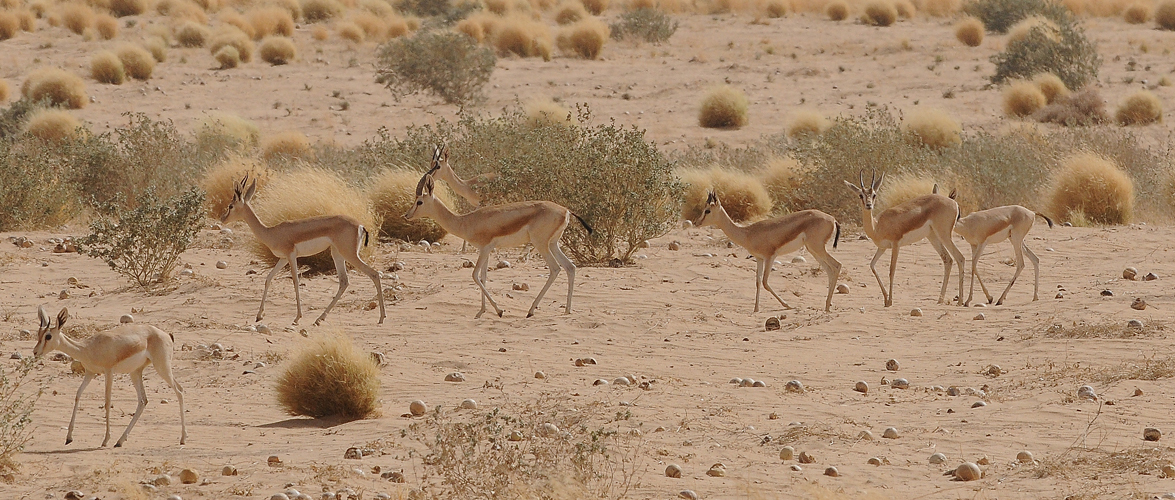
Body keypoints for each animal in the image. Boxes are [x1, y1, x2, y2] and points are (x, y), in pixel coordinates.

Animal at [32, 306, 186, 448]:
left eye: (48, 336)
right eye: (38, 334)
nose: (35, 352)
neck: (88, 348)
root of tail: (167, 335)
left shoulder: (108, 372)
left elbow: (107, 402)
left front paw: (105, 440)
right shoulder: (90, 373)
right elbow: (78, 395)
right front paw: (69, 437)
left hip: (161, 367)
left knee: (179, 391)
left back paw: (183, 439)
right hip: (135, 372)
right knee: (143, 400)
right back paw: (120, 441)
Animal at [221, 176, 385, 325]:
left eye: (230, 206)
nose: (222, 219)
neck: (271, 232)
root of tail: (360, 226)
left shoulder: (291, 256)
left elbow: (295, 281)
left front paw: (297, 317)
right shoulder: (283, 258)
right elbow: (268, 278)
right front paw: (259, 316)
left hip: (349, 254)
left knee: (374, 274)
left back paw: (382, 318)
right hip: (337, 254)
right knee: (344, 281)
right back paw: (319, 318)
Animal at [404, 172, 591, 318]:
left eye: (419, 201)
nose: (406, 215)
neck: (465, 222)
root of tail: (566, 211)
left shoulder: (485, 248)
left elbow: (475, 275)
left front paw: (499, 311)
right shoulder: (485, 250)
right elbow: (484, 277)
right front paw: (482, 311)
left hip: (541, 244)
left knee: (555, 269)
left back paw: (530, 311)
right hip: (553, 244)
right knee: (570, 267)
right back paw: (567, 310)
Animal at [695, 192, 842, 312]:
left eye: (707, 210)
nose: (696, 222)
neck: (747, 234)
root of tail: (833, 219)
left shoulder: (770, 257)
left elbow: (765, 282)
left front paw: (787, 305)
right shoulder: (759, 259)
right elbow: (758, 282)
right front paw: (756, 309)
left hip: (817, 248)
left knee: (837, 265)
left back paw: (827, 307)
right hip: (813, 250)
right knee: (830, 270)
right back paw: (827, 305)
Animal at [844, 171, 965, 307]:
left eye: (874, 195)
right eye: (861, 195)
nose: (869, 205)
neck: (877, 226)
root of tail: (954, 203)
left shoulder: (895, 244)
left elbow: (892, 270)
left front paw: (890, 301)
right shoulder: (882, 248)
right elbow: (872, 265)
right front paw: (885, 298)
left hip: (944, 235)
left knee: (960, 258)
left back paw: (961, 301)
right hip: (933, 237)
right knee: (948, 260)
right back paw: (940, 300)